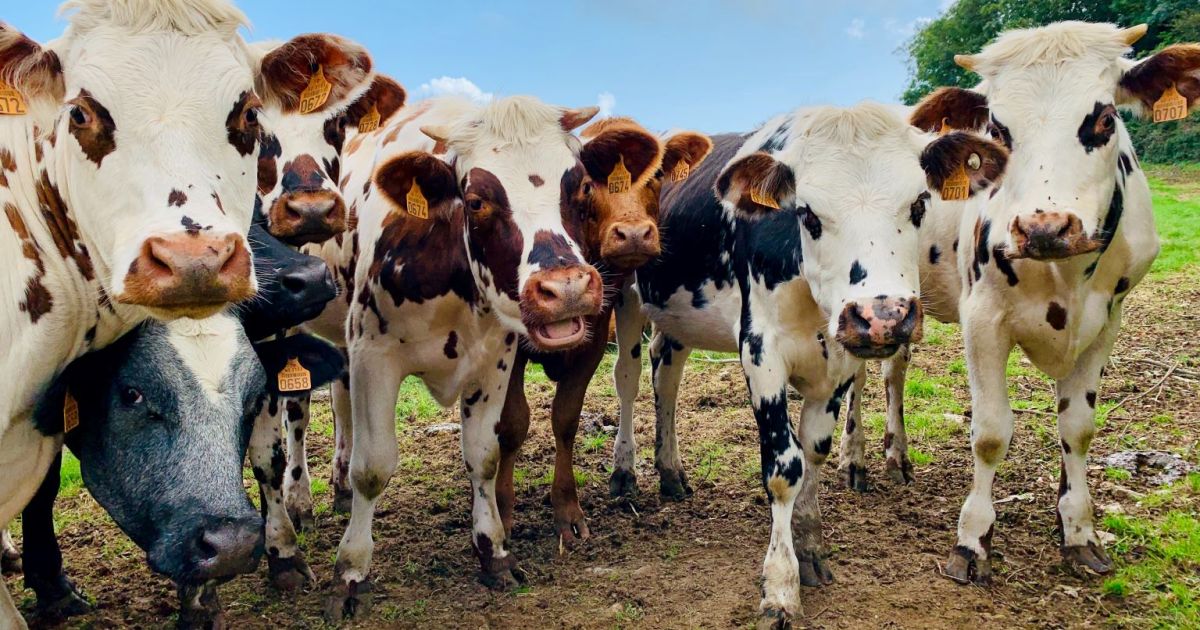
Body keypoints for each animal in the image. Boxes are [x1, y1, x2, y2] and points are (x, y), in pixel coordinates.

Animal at [303, 95, 604, 619]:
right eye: (478, 200)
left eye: (582, 186)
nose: (566, 289)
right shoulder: (373, 357)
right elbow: (373, 467)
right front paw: (350, 573)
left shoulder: (496, 359)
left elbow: (484, 456)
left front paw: (494, 553)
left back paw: (337, 486)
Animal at [499, 119, 713, 544]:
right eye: (587, 184)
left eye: (657, 175)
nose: (633, 234)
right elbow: (513, 422)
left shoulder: (605, 322)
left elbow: (571, 414)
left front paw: (571, 508)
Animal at [607, 102, 1010, 625]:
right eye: (807, 213)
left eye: (919, 204)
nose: (882, 317)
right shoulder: (760, 351)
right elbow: (784, 467)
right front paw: (780, 586)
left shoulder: (837, 363)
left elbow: (814, 451)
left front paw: (810, 547)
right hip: (624, 295)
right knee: (629, 379)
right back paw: (625, 472)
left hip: (677, 318)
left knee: (667, 378)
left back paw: (671, 470)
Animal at [864, 21, 1196, 585]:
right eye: (997, 129)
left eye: (1105, 118)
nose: (1044, 227)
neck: (1066, 274)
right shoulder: (982, 319)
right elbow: (991, 432)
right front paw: (973, 540)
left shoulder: (1108, 321)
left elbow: (1077, 428)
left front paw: (1077, 530)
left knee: (894, 372)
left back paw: (896, 456)